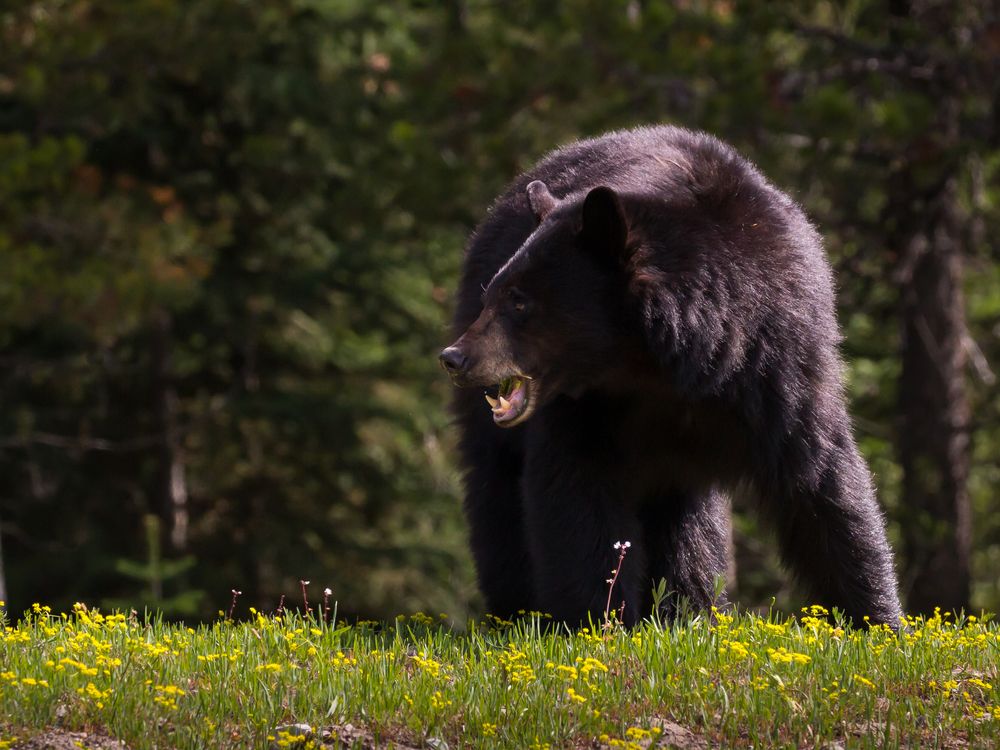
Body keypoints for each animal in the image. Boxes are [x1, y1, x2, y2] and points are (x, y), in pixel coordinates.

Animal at [440, 125, 902, 628]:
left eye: (520, 300)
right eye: (495, 293)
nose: (455, 357)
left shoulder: (777, 367)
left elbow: (822, 484)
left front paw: (880, 621)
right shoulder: (585, 408)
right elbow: (576, 494)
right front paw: (598, 621)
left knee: (689, 528)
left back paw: (690, 608)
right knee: (498, 493)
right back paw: (517, 611)